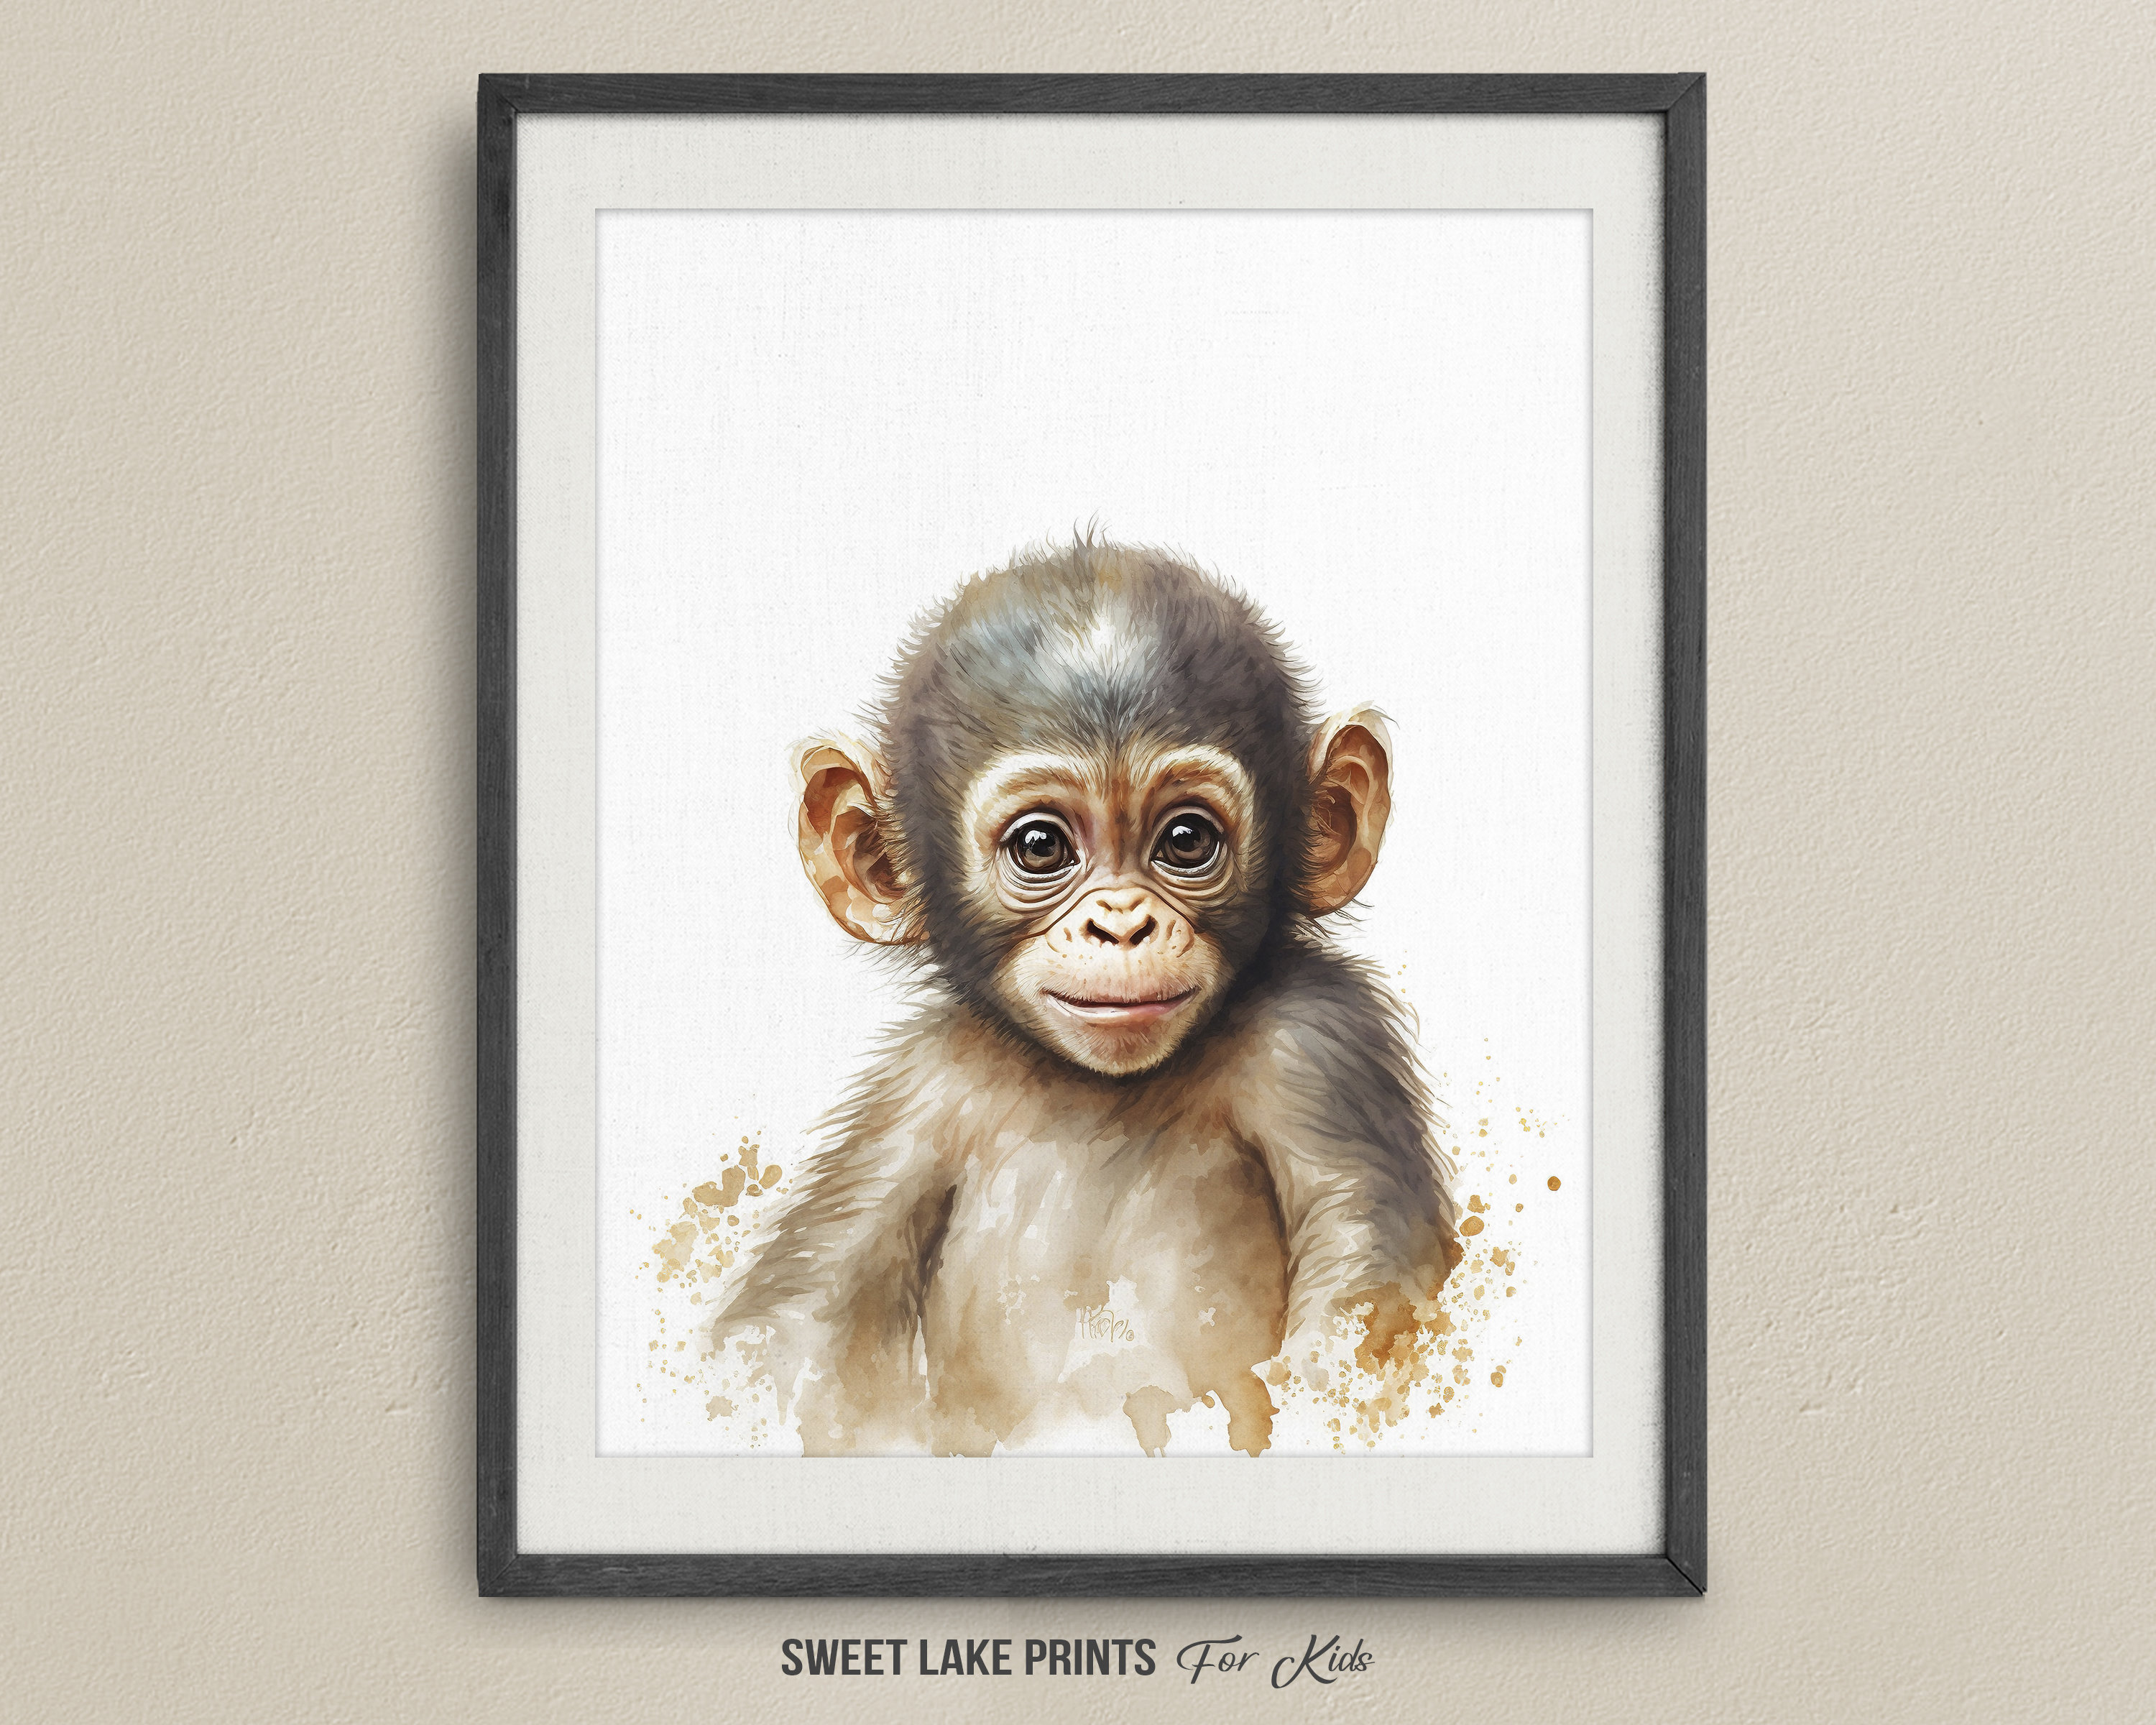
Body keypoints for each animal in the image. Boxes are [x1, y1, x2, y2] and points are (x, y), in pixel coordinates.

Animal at [716, 540, 1457, 1457]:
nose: (1121, 925)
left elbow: (1366, 1274)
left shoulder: (1322, 1044)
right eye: (1041, 846)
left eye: (1186, 839)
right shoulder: (915, 1091)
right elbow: (801, 1309)